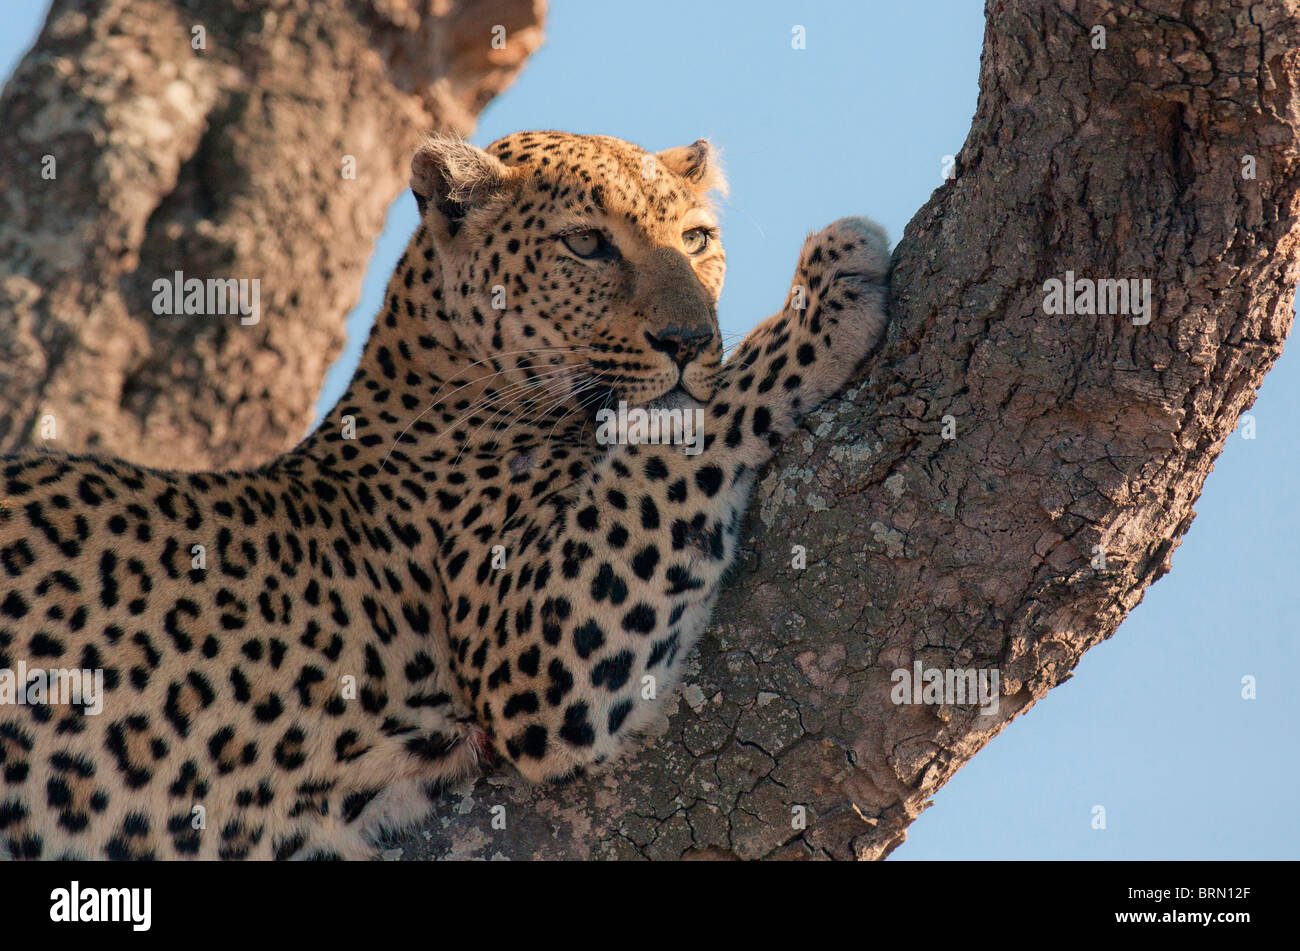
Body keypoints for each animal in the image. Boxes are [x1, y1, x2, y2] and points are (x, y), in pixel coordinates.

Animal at [0, 130, 889, 859]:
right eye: (587, 243)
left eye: (698, 240)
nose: (690, 339)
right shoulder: (536, 649)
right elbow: (684, 428)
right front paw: (830, 285)